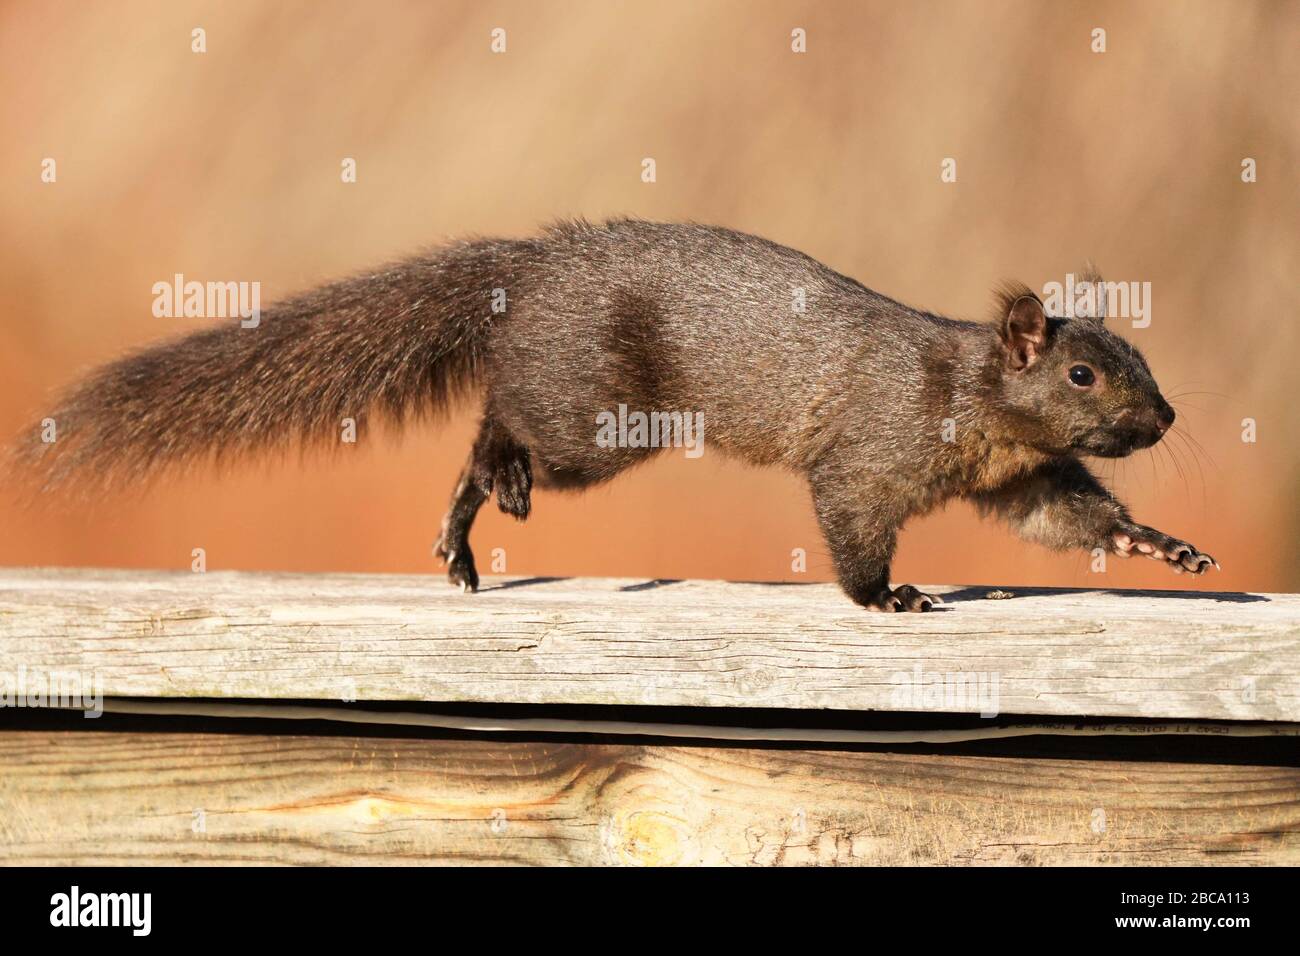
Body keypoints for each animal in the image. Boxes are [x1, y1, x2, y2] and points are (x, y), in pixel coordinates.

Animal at [17, 218, 1217, 611]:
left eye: (1140, 356)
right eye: (1083, 375)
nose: (1164, 418)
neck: (983, 408)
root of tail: (525, 270)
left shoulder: (1021, 478)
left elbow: (1071, 518)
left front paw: (1163, 543)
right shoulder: (868, 453)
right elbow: (853, 529)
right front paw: (890, 598)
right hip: (593, 418)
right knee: (500, 419)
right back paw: (476, 507)